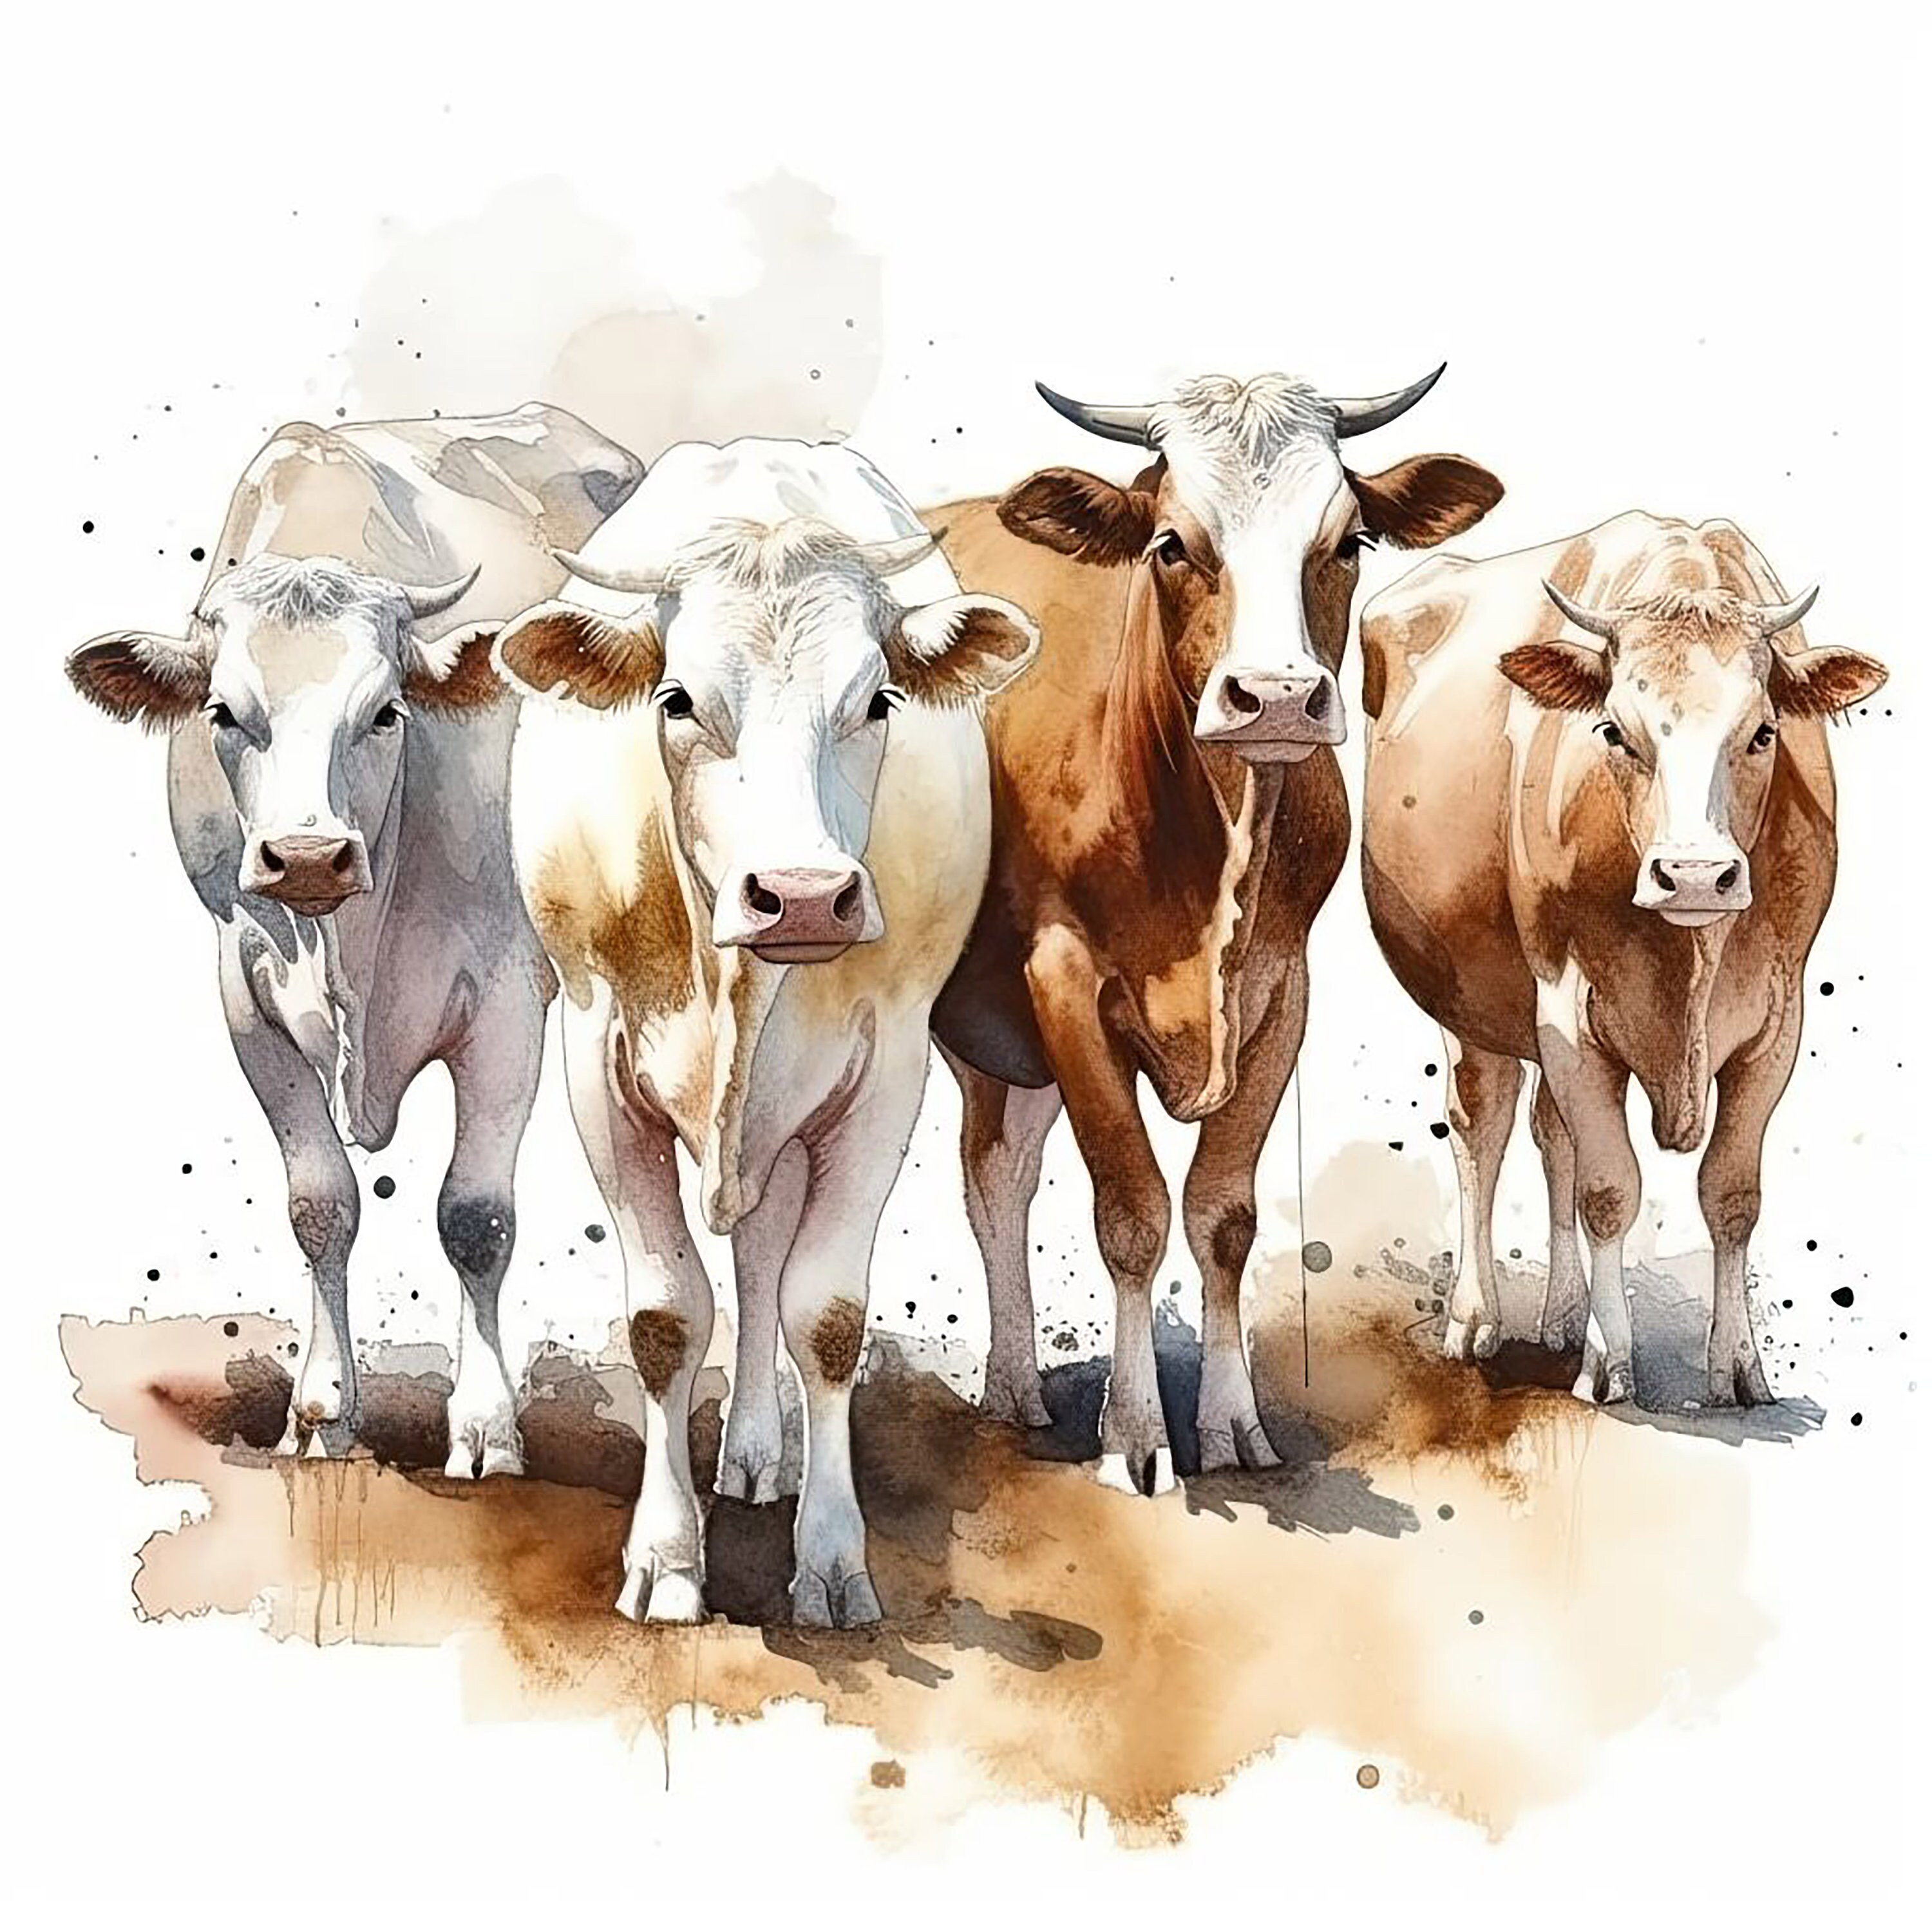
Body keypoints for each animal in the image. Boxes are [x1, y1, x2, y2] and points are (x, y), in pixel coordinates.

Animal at [65, 406, 644, 1472]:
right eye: (223, 712)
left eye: (385, 712)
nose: (306, 856)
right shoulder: (245, 994)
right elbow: (320, 1204)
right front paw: (322, 1412)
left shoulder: (507, 999)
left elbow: (476, 1216)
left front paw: (487, 1430)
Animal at [493, 438, 1038, 1625]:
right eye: (678, 699)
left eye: (878, 700)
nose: (803, 897)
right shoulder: (596, 1062)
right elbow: (665, 1318)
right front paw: (665, 1559)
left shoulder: (889, 1071)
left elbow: (821, 1314)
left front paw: (831, 1560)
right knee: (742, 1265)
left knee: (761, 1265)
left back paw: (756, 1455)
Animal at [926, 370, 1504, 1493]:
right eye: (1171, 543)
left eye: (1348, 542)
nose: (1275, 696)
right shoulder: (1064, 982)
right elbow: (1132, 1215)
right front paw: (1136, 1436)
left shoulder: (1284, 990)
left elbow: (1222, 1215)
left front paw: (1234, 1424)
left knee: (996, 1176)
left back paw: (1014, 1388)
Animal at [1359, 510, 1886, 1405]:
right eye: (1613, 731)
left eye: (1764, 732)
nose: (1697, 873)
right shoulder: (1571, 1010)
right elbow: (1610, 1190)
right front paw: (1611, 1362)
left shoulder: (1775, 1028)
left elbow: (1731, 1194)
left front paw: (1737, 1365)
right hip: (1467, 1000)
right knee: (1482, 1125)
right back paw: (1477, 1317)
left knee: (1552, 1135)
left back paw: (1564, 1315)